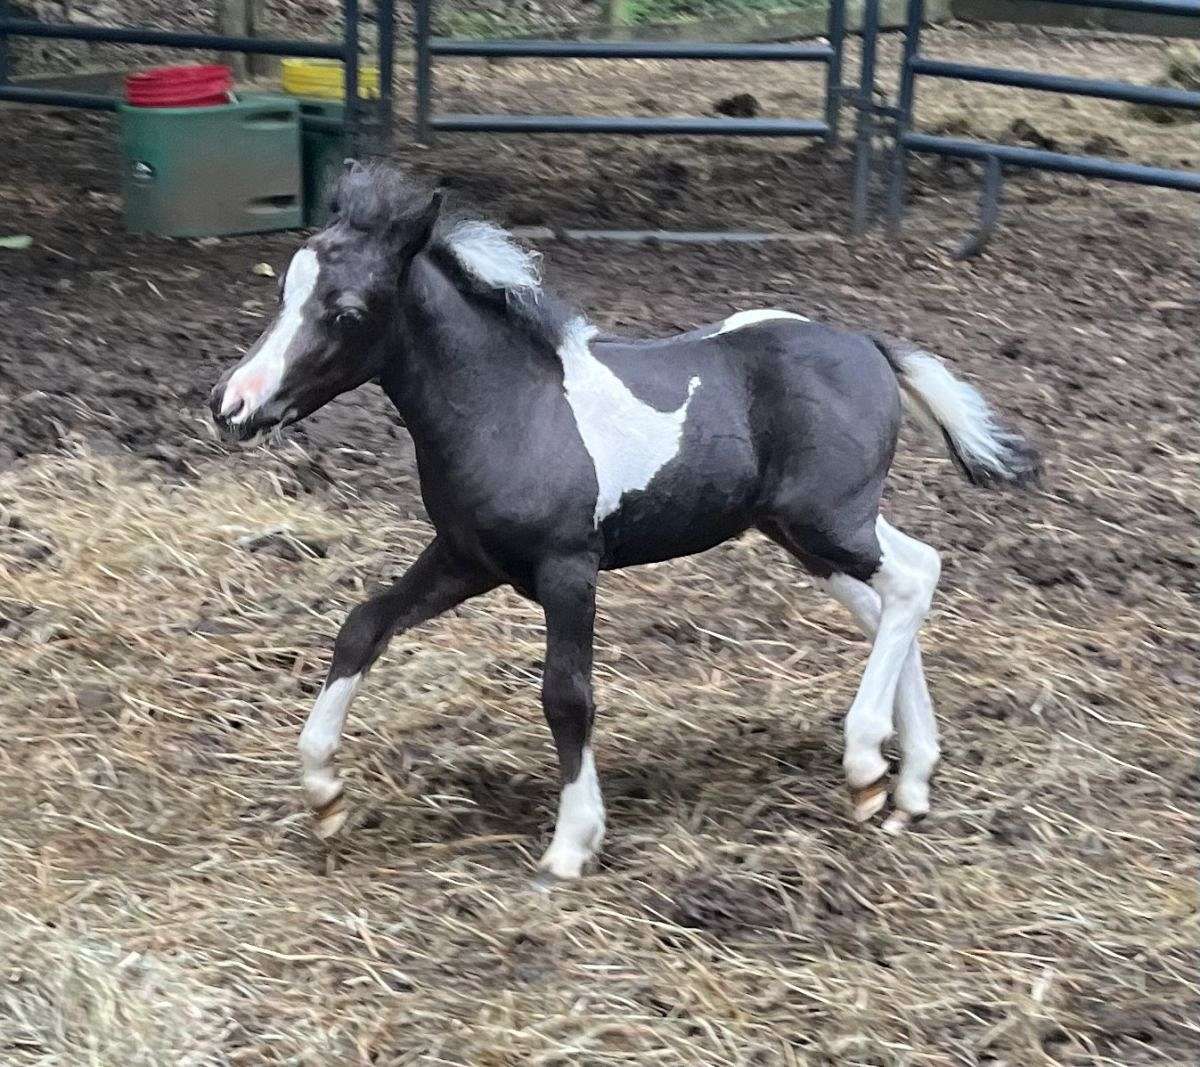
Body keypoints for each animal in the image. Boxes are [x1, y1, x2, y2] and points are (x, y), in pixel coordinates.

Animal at [210, 160, 1039, 884]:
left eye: (347, 312)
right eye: (283, 289)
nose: (232, 404)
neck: (512, 405)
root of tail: (867, 344)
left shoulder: (567, 566)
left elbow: (566, 695)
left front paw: (571, 845)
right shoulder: (464, 558)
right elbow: (363, 626)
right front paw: (324, 792)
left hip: (829, 520)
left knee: (913, 576)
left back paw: (868, 764)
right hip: (807, 530)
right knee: (895, 594)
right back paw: (909, 786)